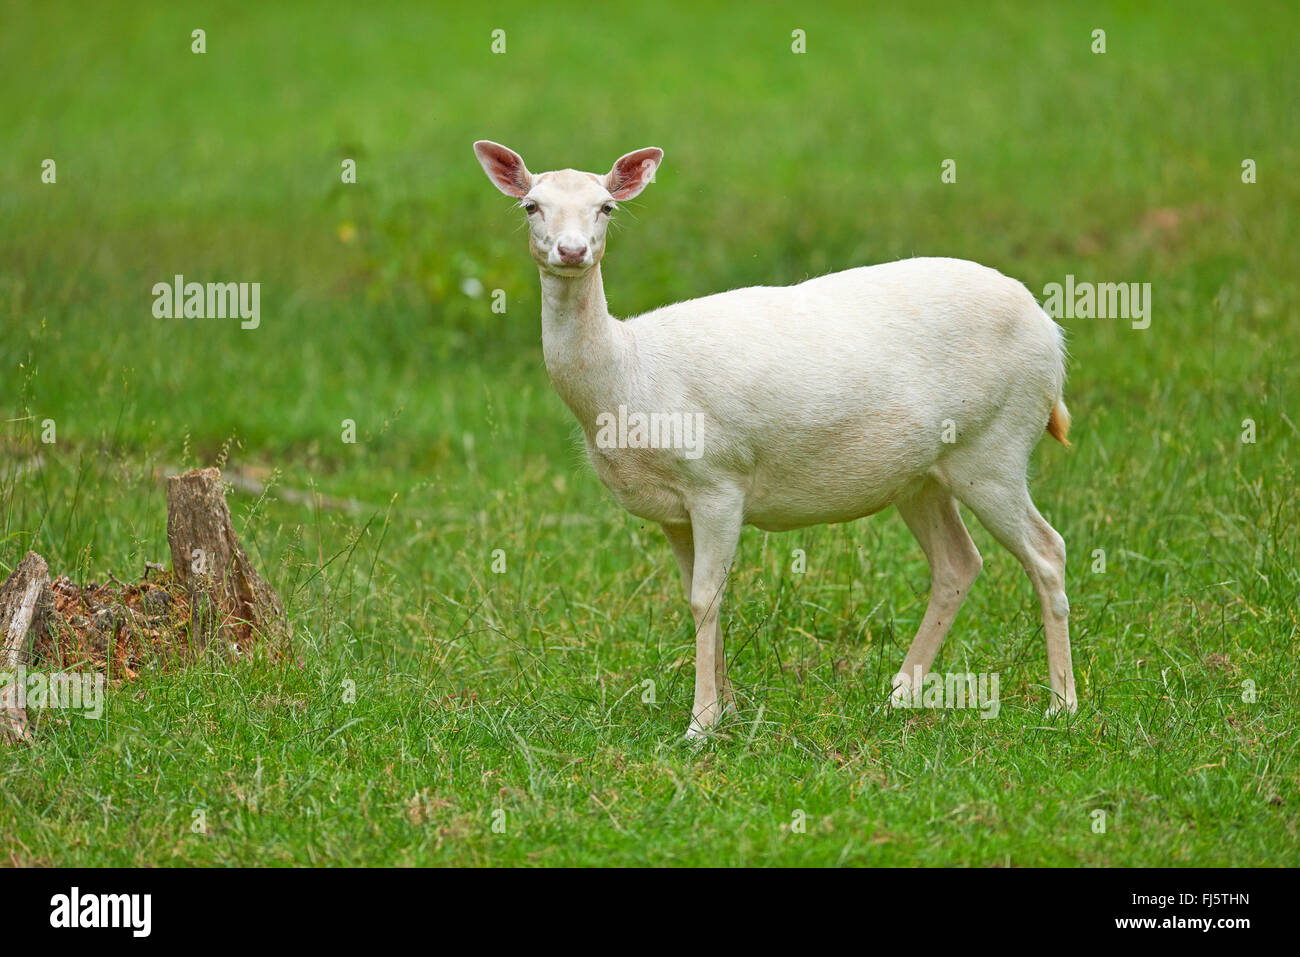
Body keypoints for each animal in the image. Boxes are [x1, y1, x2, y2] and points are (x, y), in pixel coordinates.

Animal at [472, 140, 1078, 738]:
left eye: (606, 207)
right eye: (531, 205)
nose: (572, 251)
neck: (630, 376)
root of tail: (1053, 334)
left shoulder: (717, 479)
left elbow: (705, 598)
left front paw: (700, 726)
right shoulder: (672, 510)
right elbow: (697, 597)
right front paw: (729, 712)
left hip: (996, 443)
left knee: (1047, 550)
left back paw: (1062, 707)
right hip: (923, 476)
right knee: (959, 563)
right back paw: (898, 697)